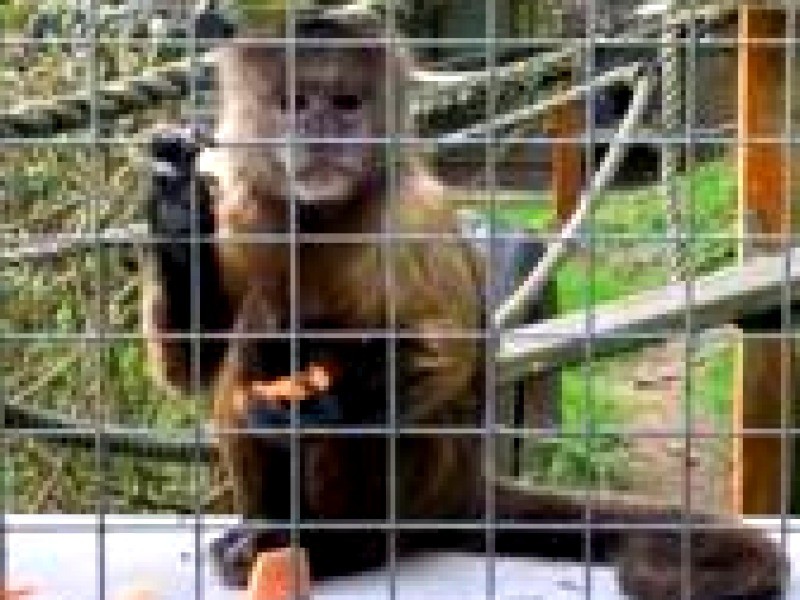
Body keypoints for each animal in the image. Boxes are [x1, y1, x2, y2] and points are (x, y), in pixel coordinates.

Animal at [141, 12, 788, 600]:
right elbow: (193, 365)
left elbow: (444, 361)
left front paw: (322, 403)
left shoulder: (412, 215)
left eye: (346, 103)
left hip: (427, 481)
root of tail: (461, 490)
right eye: (295, 103)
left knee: (324, 343)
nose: (322, 132)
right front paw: (178, 210)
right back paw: (274, 532)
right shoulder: (246, 213)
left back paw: (340, 545)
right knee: (255, 336)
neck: (321, 217)